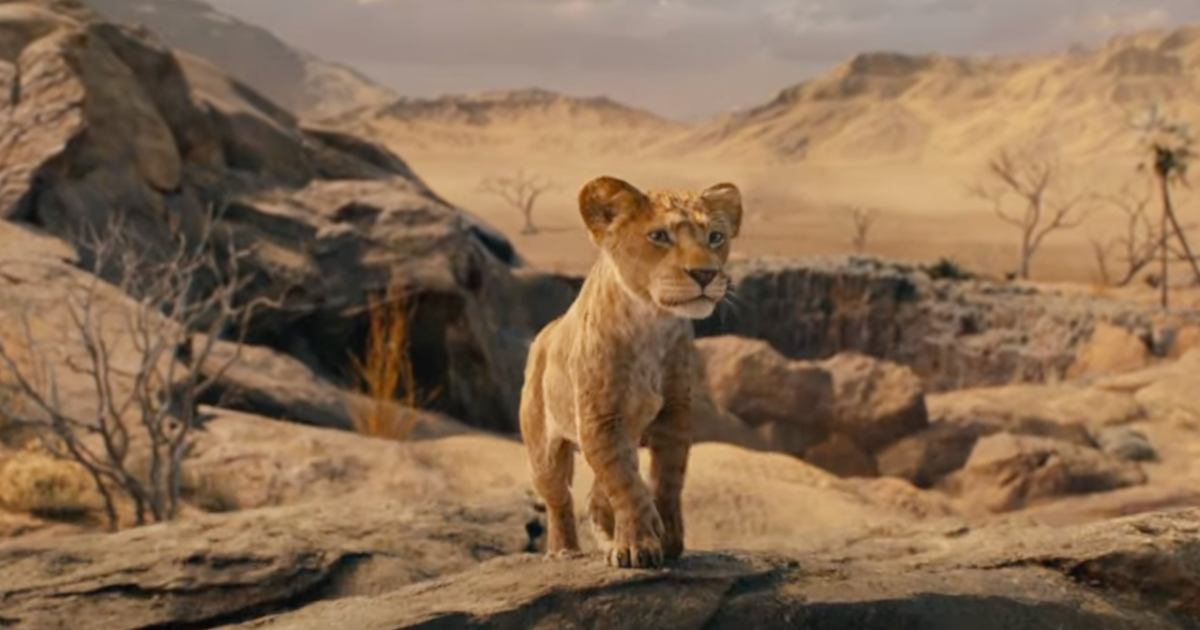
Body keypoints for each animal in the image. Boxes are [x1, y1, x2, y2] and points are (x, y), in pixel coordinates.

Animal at [519, 175, 743, 569]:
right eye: (659, 236)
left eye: (715, 237)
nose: (705, 274)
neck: (651, 322)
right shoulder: (600, 419)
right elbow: (625, 484)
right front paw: (639, 544)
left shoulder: (674, 411)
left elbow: (667, 477)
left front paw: (667, 538)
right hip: (543, 446)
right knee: (559, 498)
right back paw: (564, 550)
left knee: (595, 496)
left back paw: (608, 540)